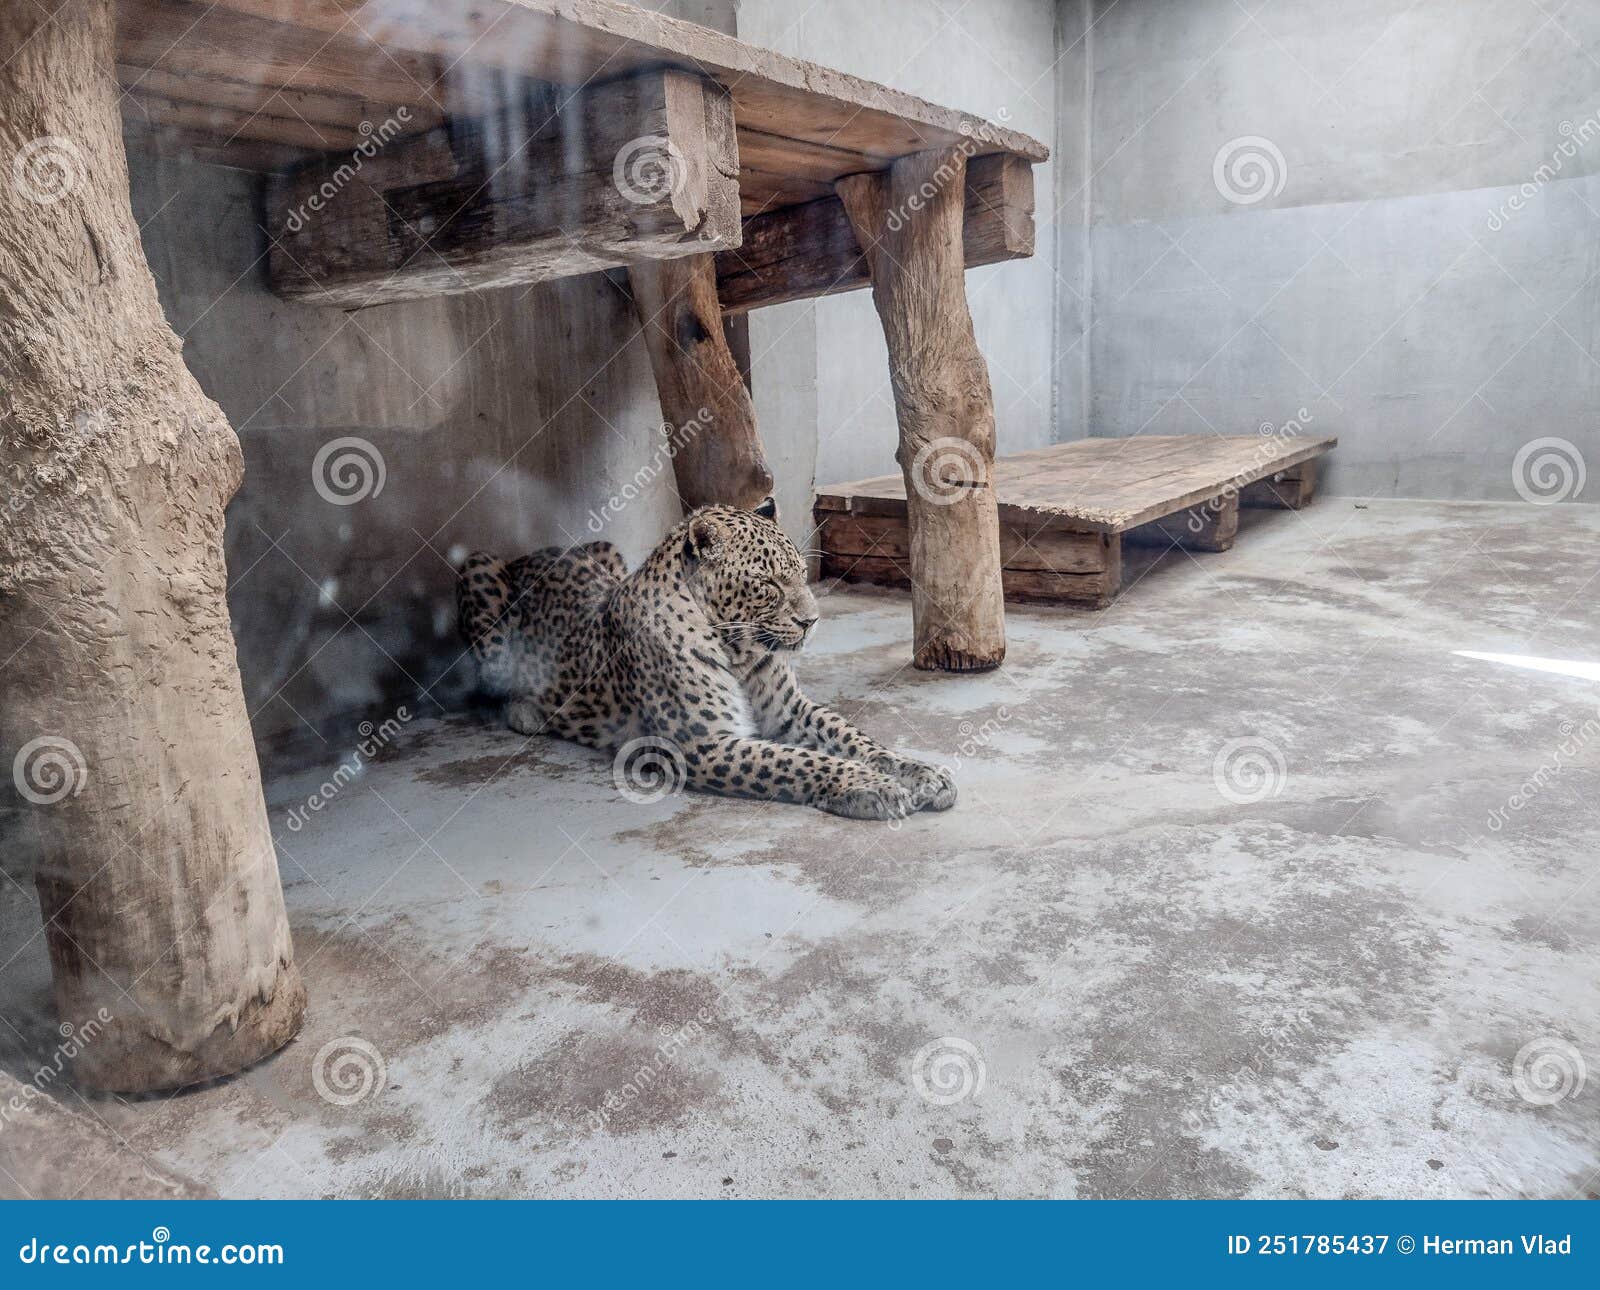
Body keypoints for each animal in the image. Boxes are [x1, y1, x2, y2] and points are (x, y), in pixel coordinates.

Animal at [455, 498, 955, 820]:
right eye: (768, 583)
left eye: (799, 572)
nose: (812, 620)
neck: (739, 652)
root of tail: (532, 553)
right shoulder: (704, 744)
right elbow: (796, 762)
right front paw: (869, 787)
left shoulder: (792, 710)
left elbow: (855, 738)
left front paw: (920, 772)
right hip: (477, 567)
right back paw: (525, 711)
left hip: (605, 548)